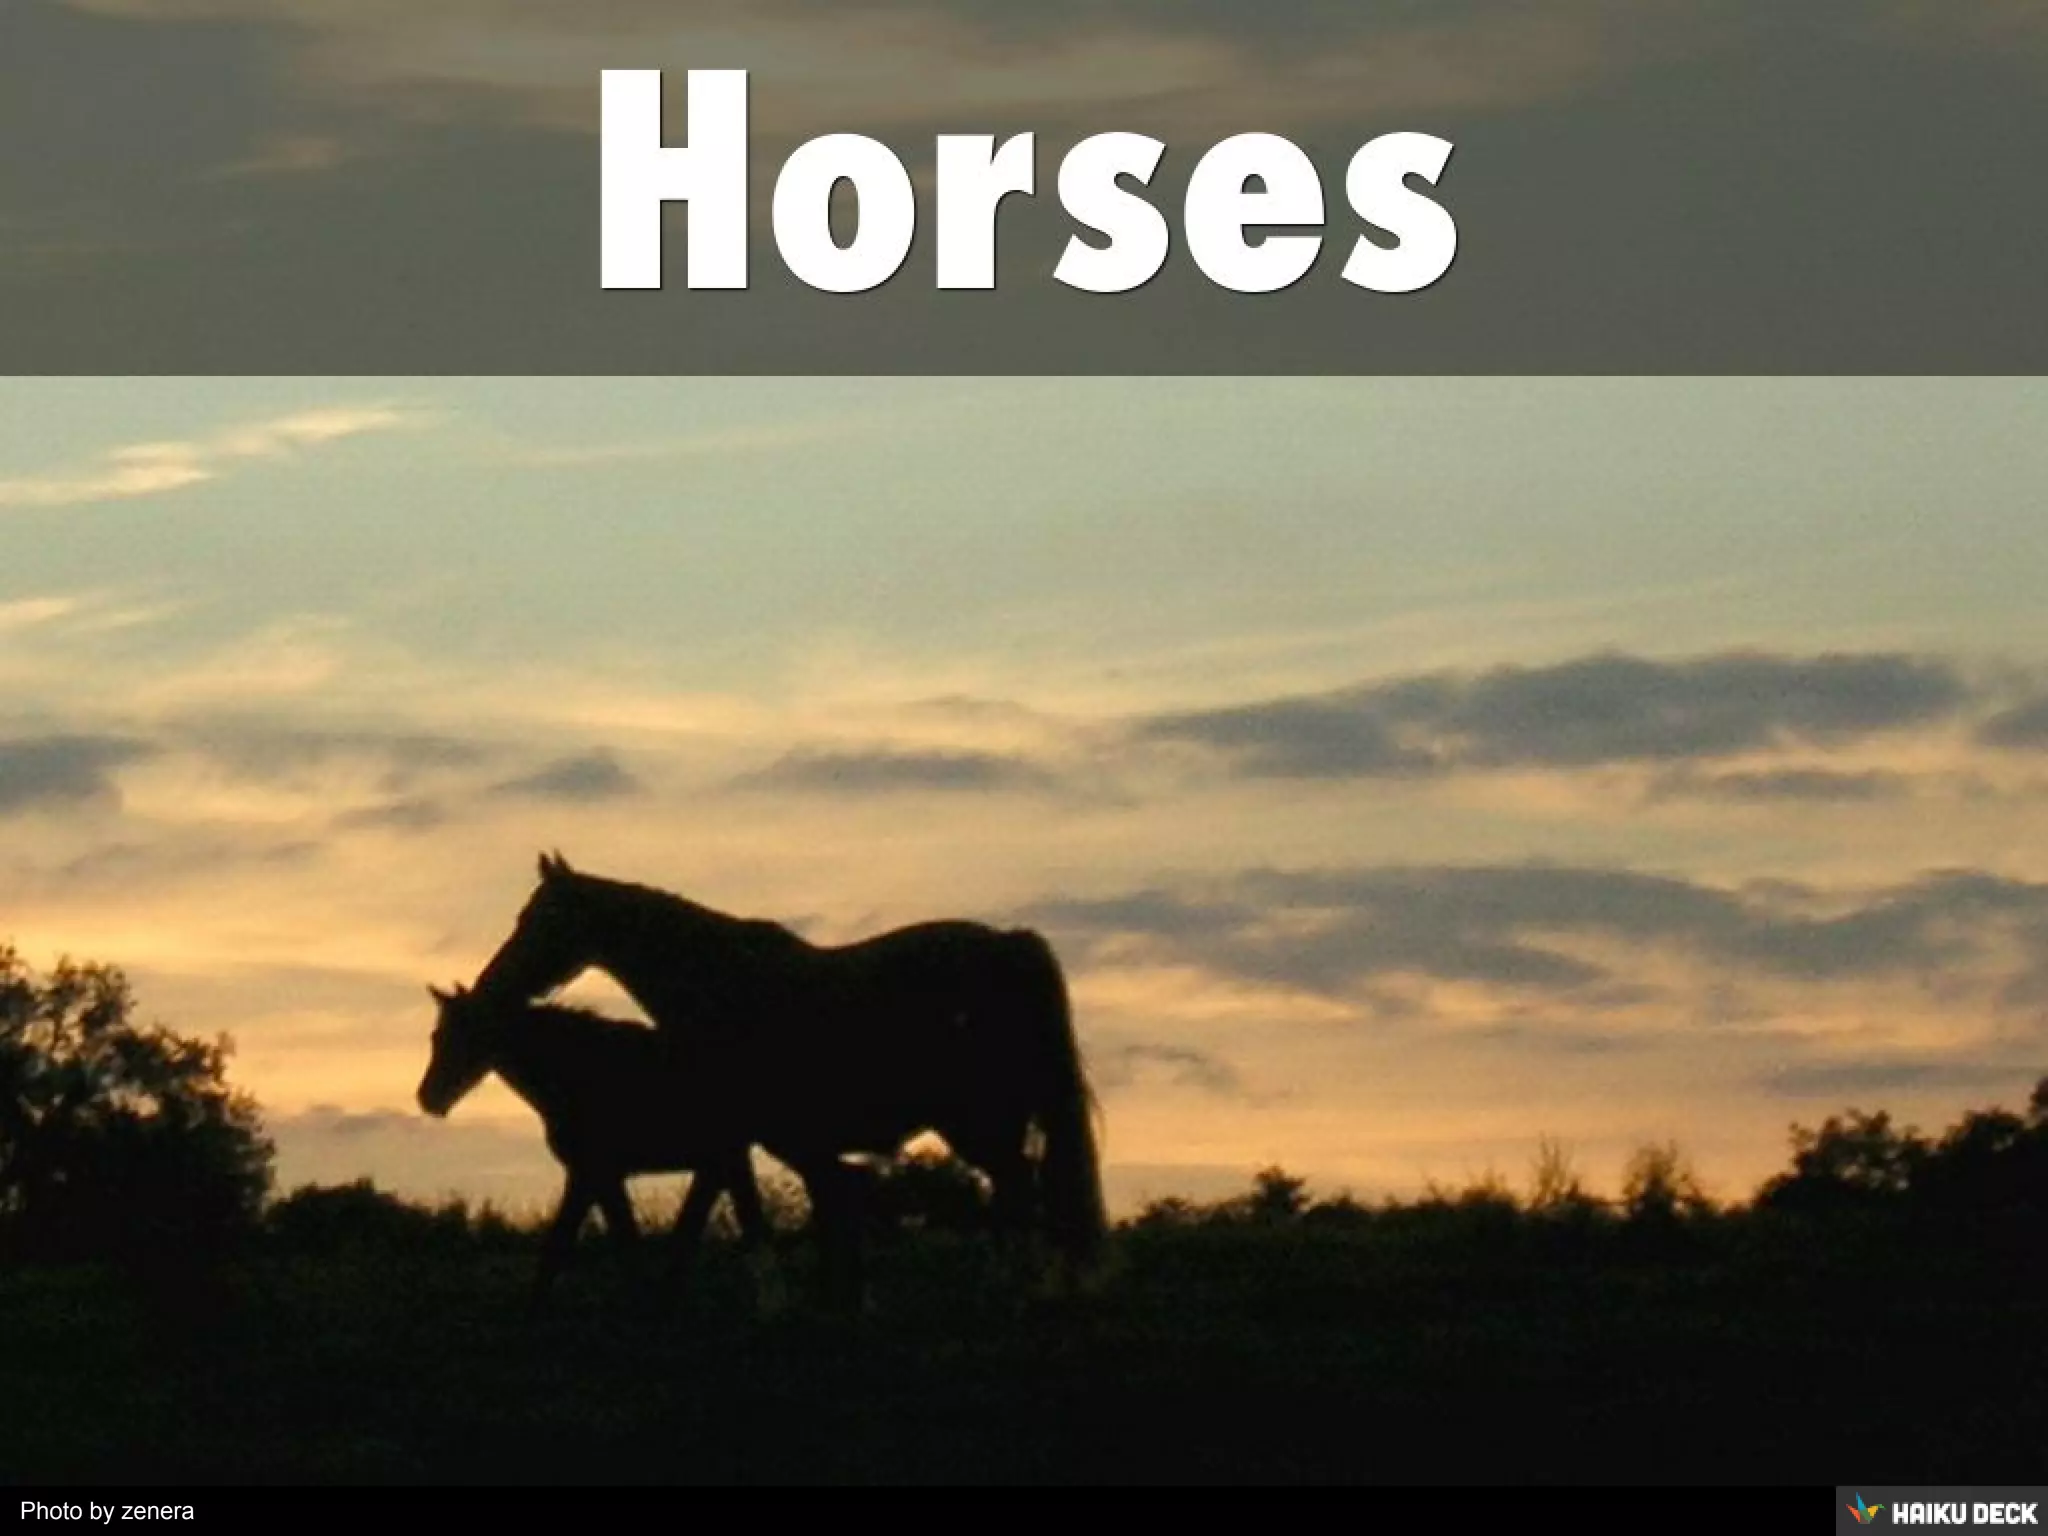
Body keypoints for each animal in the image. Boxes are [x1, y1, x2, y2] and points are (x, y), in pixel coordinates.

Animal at [416, 982, 773, 1302]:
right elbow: (587, 1245)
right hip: (727, 1161)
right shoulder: (595, 1176)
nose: (427, 1098)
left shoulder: (594, 1172)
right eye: (435, 1037)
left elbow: (592, 1245)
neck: (580, 1071)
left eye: (463, 1035)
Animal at [463, 852, 1108, 1298]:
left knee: (1019, 1188)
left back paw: (1020, 1288)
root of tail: (1009, 946)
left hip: (978, 1121)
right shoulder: (765, 1143)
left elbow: (728, 1221)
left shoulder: (731, 1141)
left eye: (537, 919)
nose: (492, 984)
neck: (726, 986)